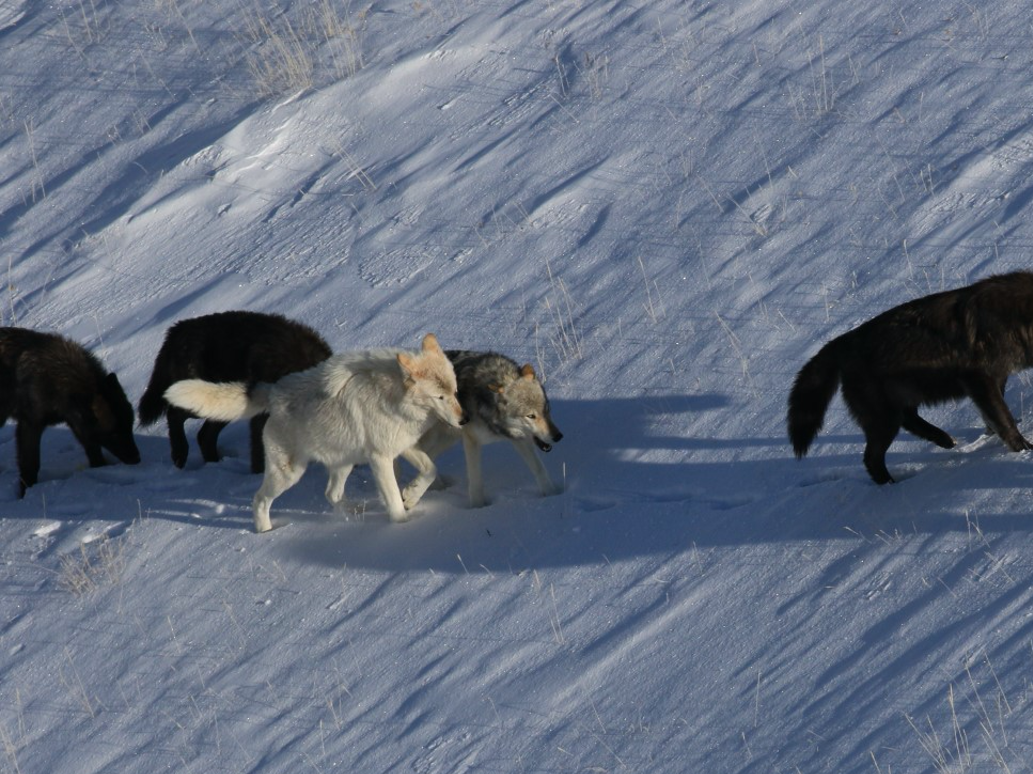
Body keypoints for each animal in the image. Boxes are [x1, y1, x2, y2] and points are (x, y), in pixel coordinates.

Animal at [0, 327, 140, 496]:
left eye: (130, 427)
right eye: (114, 434)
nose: (136, 459)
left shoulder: (76, 423)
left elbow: (93, 451)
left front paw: (100, 468)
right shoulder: (30, 424)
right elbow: (30, 466)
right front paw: (26, 494)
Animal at [138, 310, 331, 473]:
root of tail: (177, 328)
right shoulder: (262, 418)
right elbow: (259, 454)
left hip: (224, 408)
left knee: (204, 436)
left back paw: (215, 466)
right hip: (196, 400)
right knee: (174, 415)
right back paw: (180, 454)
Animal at [164, 333, 466, 533]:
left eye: (454, 391)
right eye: (439, 397)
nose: (464, 420)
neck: (392, 396)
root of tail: (273, 390)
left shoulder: (403, 446)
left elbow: (430, 470)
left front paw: (411, 496)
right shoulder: (380, 458)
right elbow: (393, 500)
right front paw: (402, 526)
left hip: (343, 464)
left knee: (331, 495)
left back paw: (355, 512)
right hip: (290, 474)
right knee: (259, 500)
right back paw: (267, 532)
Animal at [413, 351, 563, 507]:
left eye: (546, 410)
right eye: (531, 416)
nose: (558, 436)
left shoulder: (519, 438)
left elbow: (539, 469)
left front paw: (552, 496)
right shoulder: (471, 441)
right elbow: (476, 481)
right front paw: (479, 508)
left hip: (449, 438)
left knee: (428, 456)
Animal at [788, 271, 1033, 484]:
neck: (1013, 318)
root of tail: (841, 341)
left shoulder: (996, 379)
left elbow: (992, 418)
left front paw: (989, 438)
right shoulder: (980, 379)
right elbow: (1004, 419)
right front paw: (1023, 450)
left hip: (901, 403)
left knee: (909, 421)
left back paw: (945, 440)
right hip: (885, 419)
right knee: (871, 458)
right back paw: (892, 485)